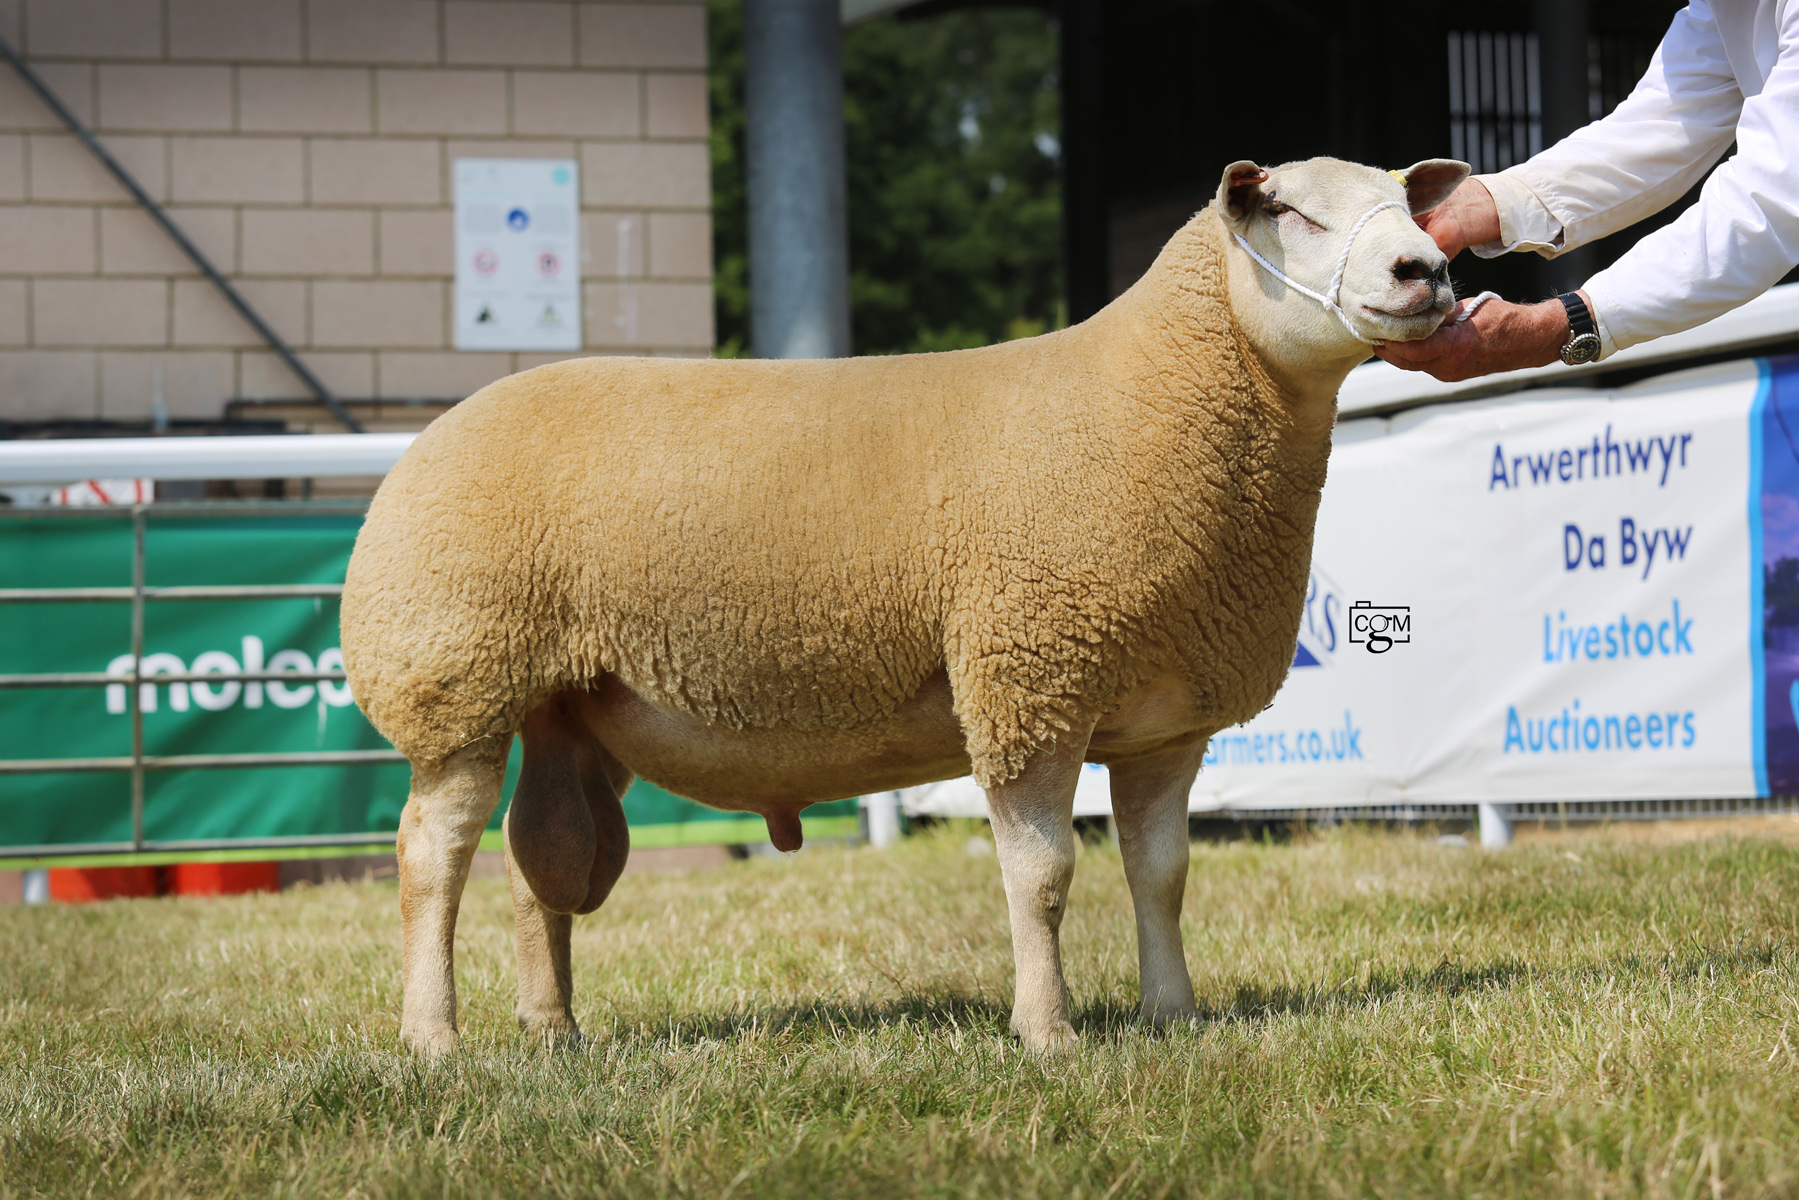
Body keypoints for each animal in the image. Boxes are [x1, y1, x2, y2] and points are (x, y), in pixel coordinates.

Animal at [340, 155, 1469, 1056]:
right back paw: (434, 1040)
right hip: (455, 679)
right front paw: (1048, 1034)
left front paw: (1173, 1016)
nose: (1426, 270)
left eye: (1403, 206)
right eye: (1295, 214)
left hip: (565, 705)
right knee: (432, 858)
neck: (1151, 399)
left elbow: (1161, 875)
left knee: (538, 866)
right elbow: (1043, 876)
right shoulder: (1028, 680)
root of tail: (425, 442)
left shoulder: (1160, 722)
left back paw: (552, 1031)